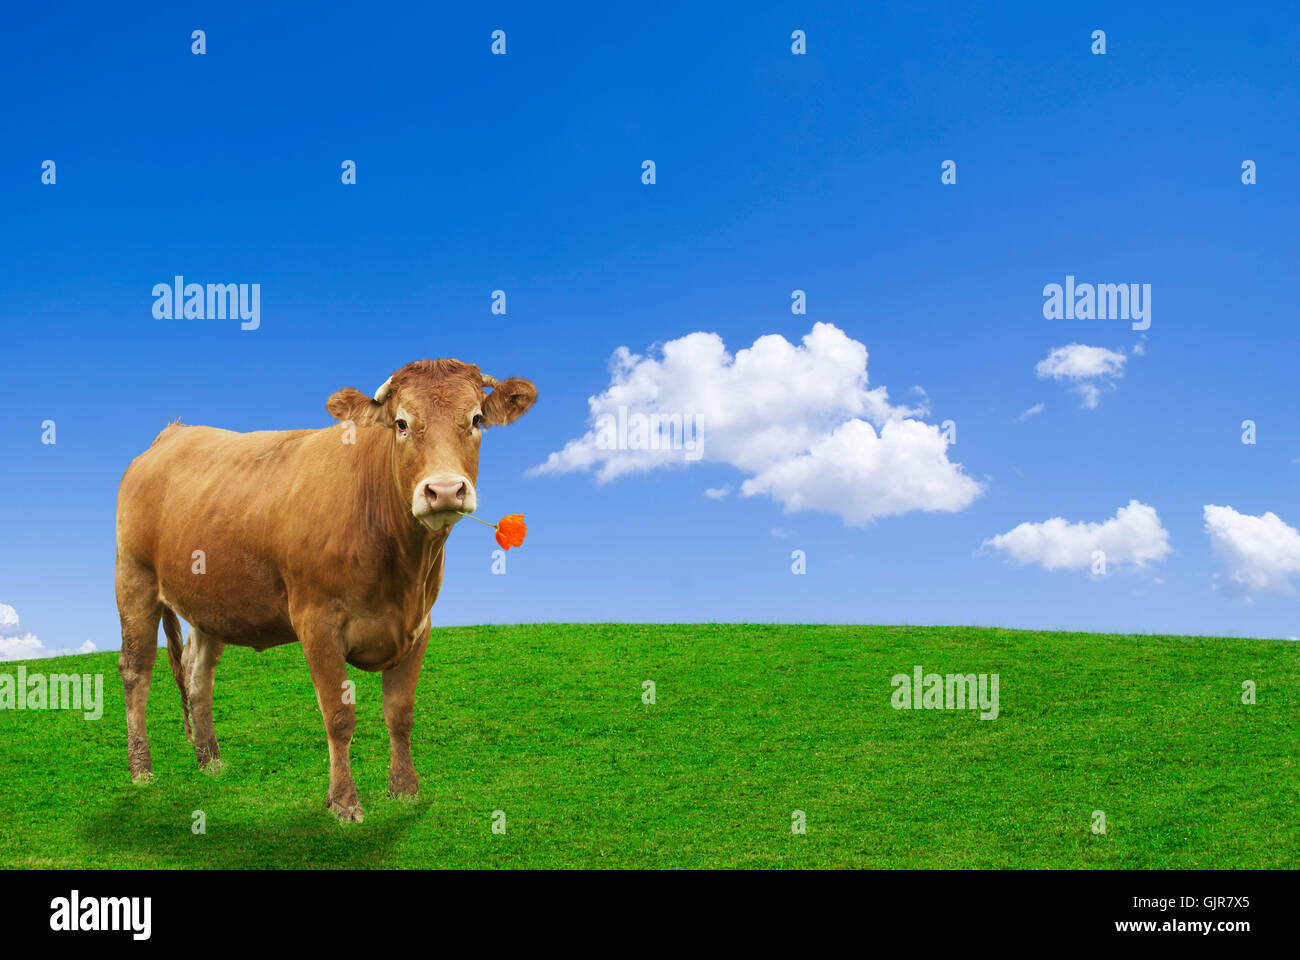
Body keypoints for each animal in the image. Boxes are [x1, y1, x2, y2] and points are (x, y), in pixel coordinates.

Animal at [114, 359, 537, 822]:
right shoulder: (316, 623)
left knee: (197, 673)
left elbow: (400, 713)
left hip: (210, 601)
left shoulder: (419, 624)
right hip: (134, 581)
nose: (444, 490)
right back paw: (140, 770)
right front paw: (344, 802)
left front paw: (405, 789)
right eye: (402, 423)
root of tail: (173, 432)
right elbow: (338, 716)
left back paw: (210, 762)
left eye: (476, 420)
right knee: (136, 672)